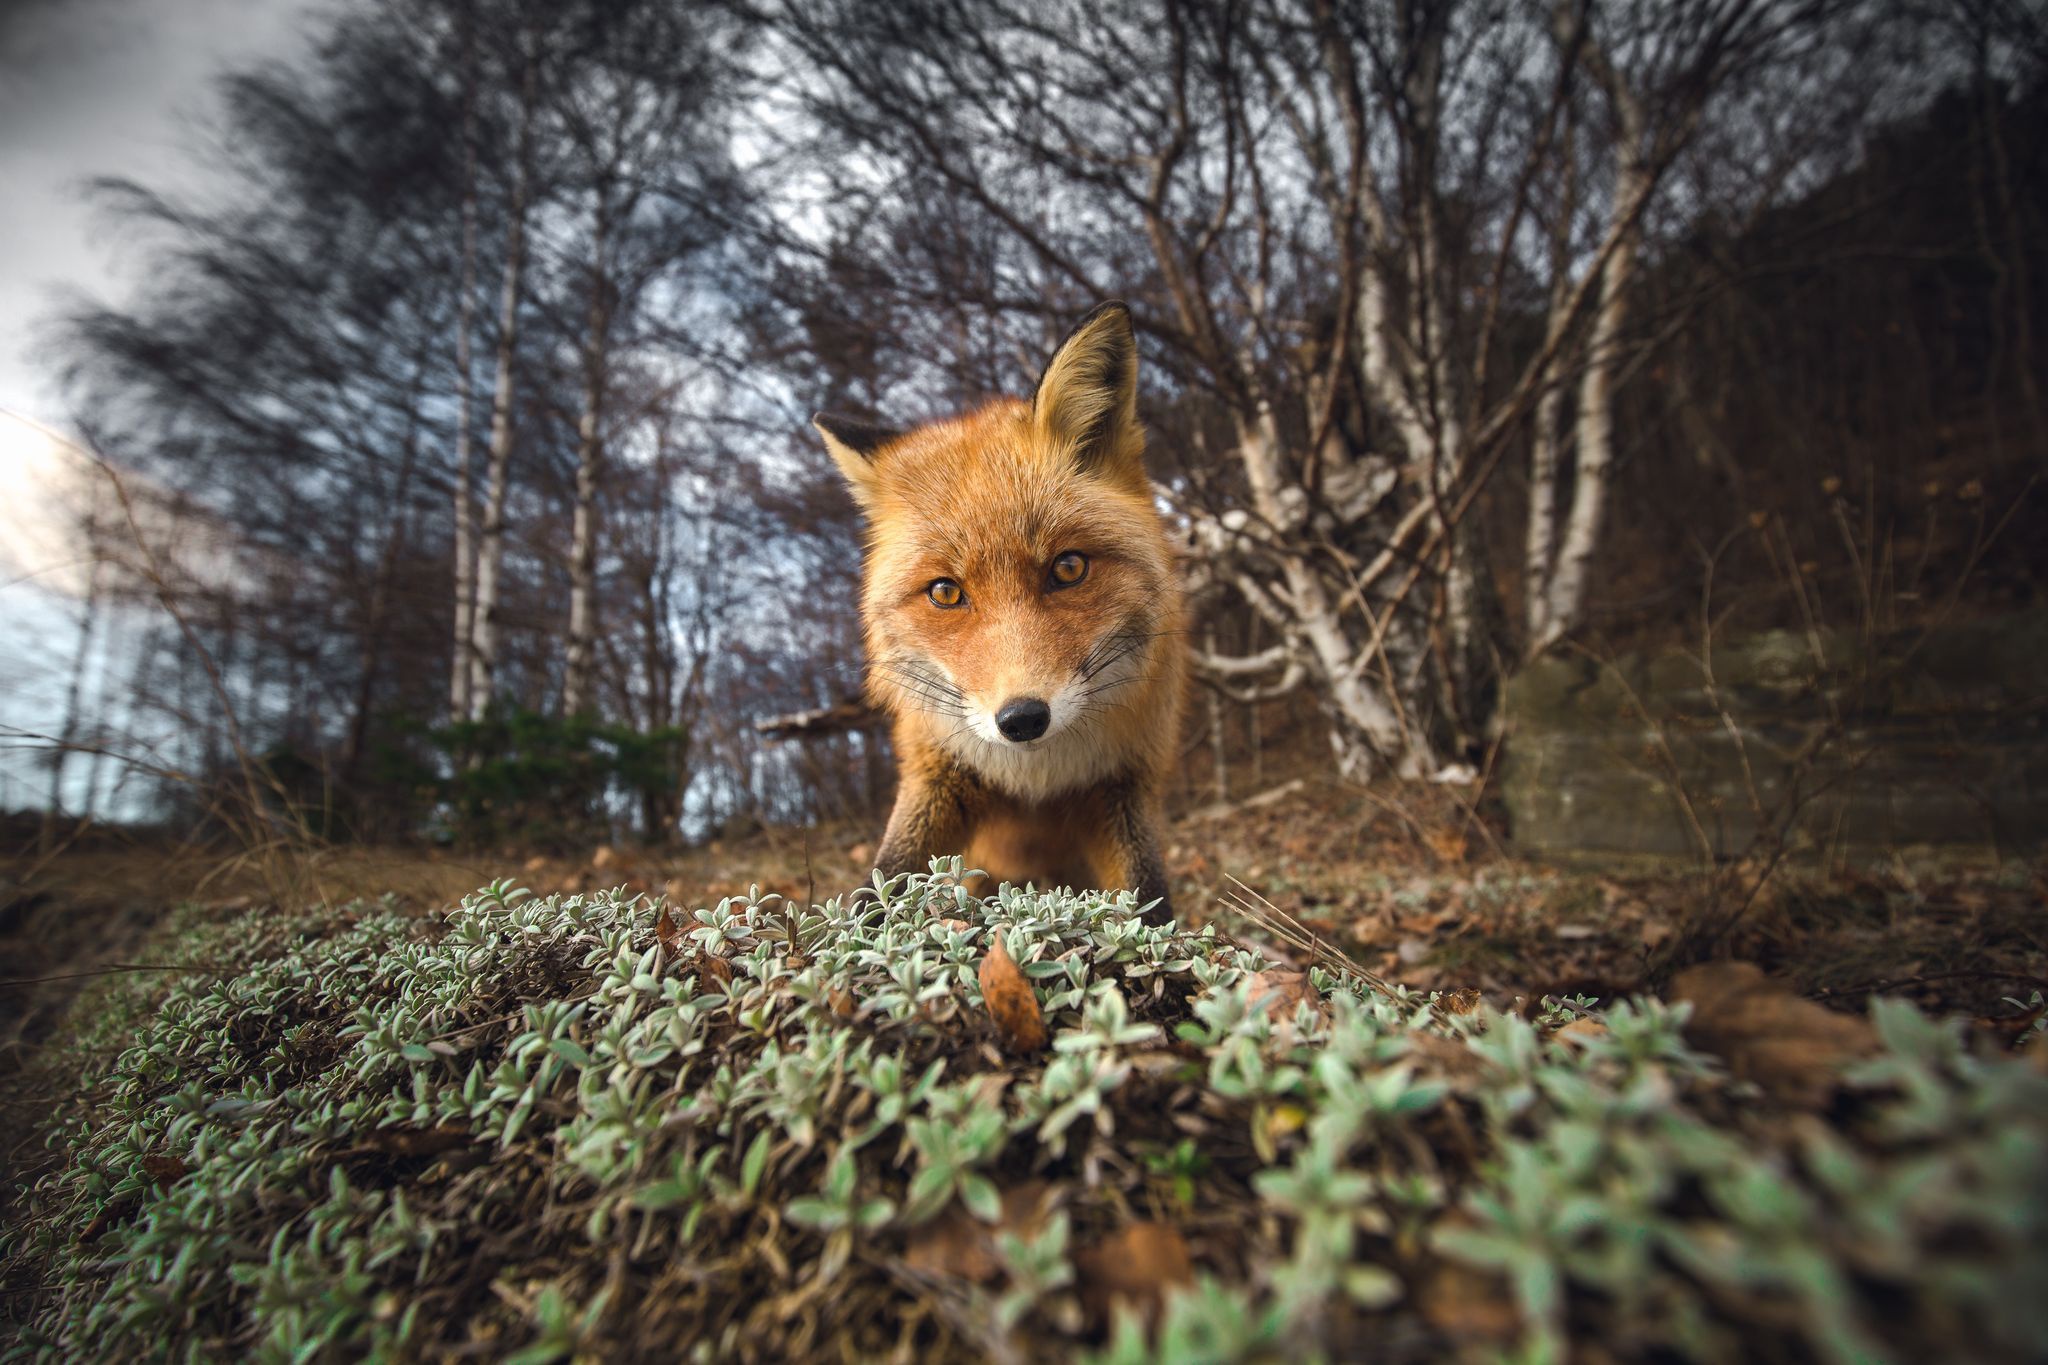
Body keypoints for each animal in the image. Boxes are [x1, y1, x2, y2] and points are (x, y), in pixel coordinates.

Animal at [814, 301, 1187, 922]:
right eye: (945, 592)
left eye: (1068, 568)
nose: (1022, 719)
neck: (1037, 776)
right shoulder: (936, 773)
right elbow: (882, 883)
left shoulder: (1125, 785)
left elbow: (1149, 901)